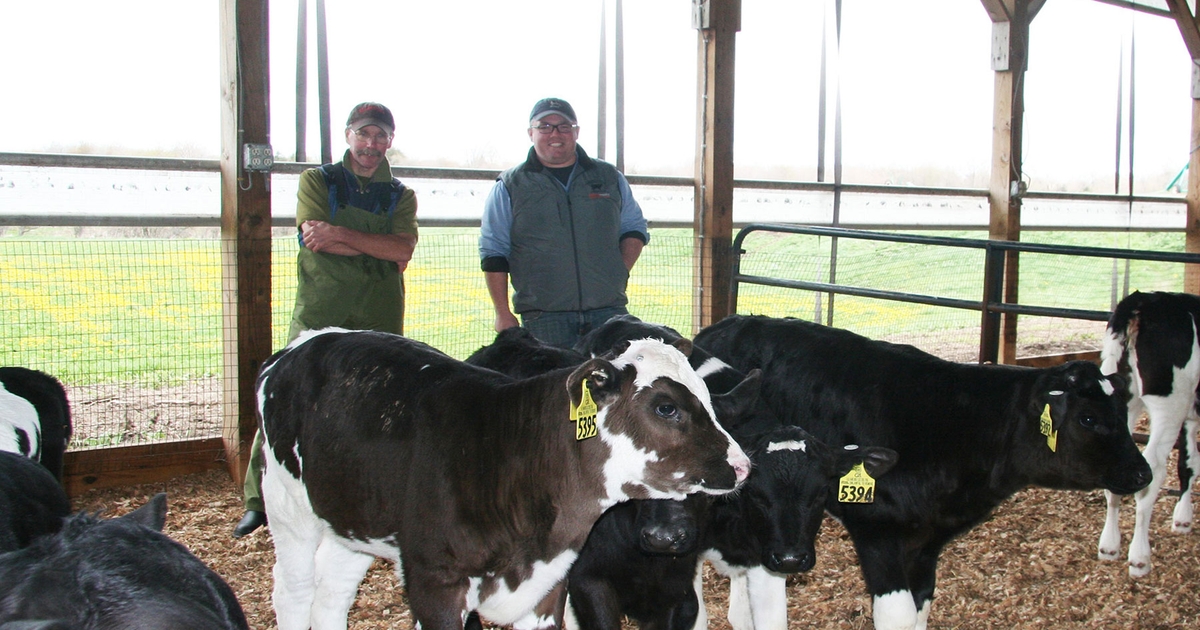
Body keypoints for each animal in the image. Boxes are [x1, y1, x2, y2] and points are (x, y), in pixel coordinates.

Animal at [257, 328, 751, 630]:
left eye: (709, 399)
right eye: (666, 407)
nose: (743, 465)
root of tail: (300, 343)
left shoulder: (550, 586)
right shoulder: (434, 583)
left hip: (352, 519)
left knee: (332, 592)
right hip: (287, 506)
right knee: (292, 591)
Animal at [694, 314, 1152, 630]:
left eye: (1122, 409)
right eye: (1089, 418)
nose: (1142, 474)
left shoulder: (930, 540)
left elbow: (921, 608)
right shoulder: (877, 530)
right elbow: (895, 615)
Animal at [1096, 290, 1200, 577]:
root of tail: (1141, 302)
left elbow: (1189, 462)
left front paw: (1183, 519)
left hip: (1123, 398)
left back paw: (1109, 545)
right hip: (1170, 402)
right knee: (1153, 468)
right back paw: (1139, 557)